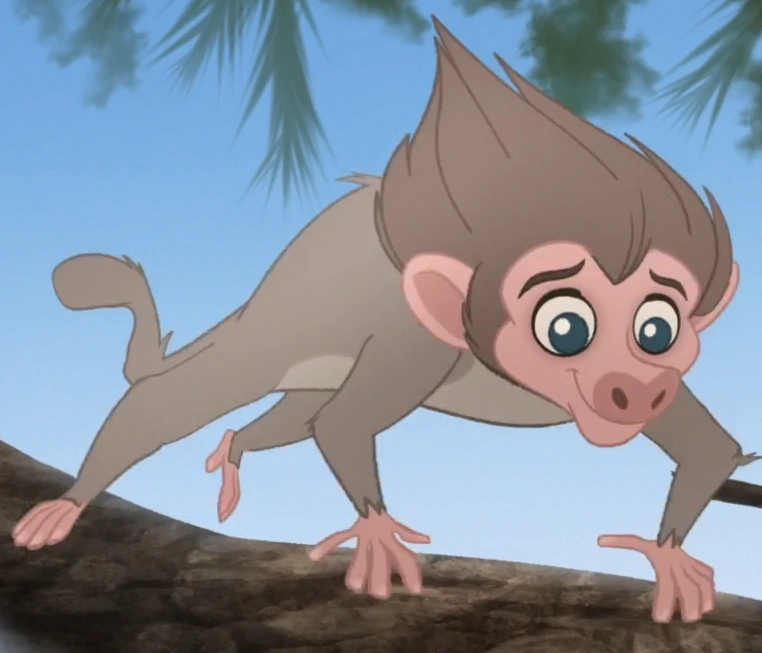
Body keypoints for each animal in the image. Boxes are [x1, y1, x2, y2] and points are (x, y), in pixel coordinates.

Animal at [12, 18, 758, 625]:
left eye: (657, 330)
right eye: (566, 328)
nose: (637, 388)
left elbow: (712, 450)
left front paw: (667, 560)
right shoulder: (415, 344)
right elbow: (343, 426)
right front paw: (375, 535)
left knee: (285, 419)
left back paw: (233, 450)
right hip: (295, 320)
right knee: (195, 396)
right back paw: (68, 505)